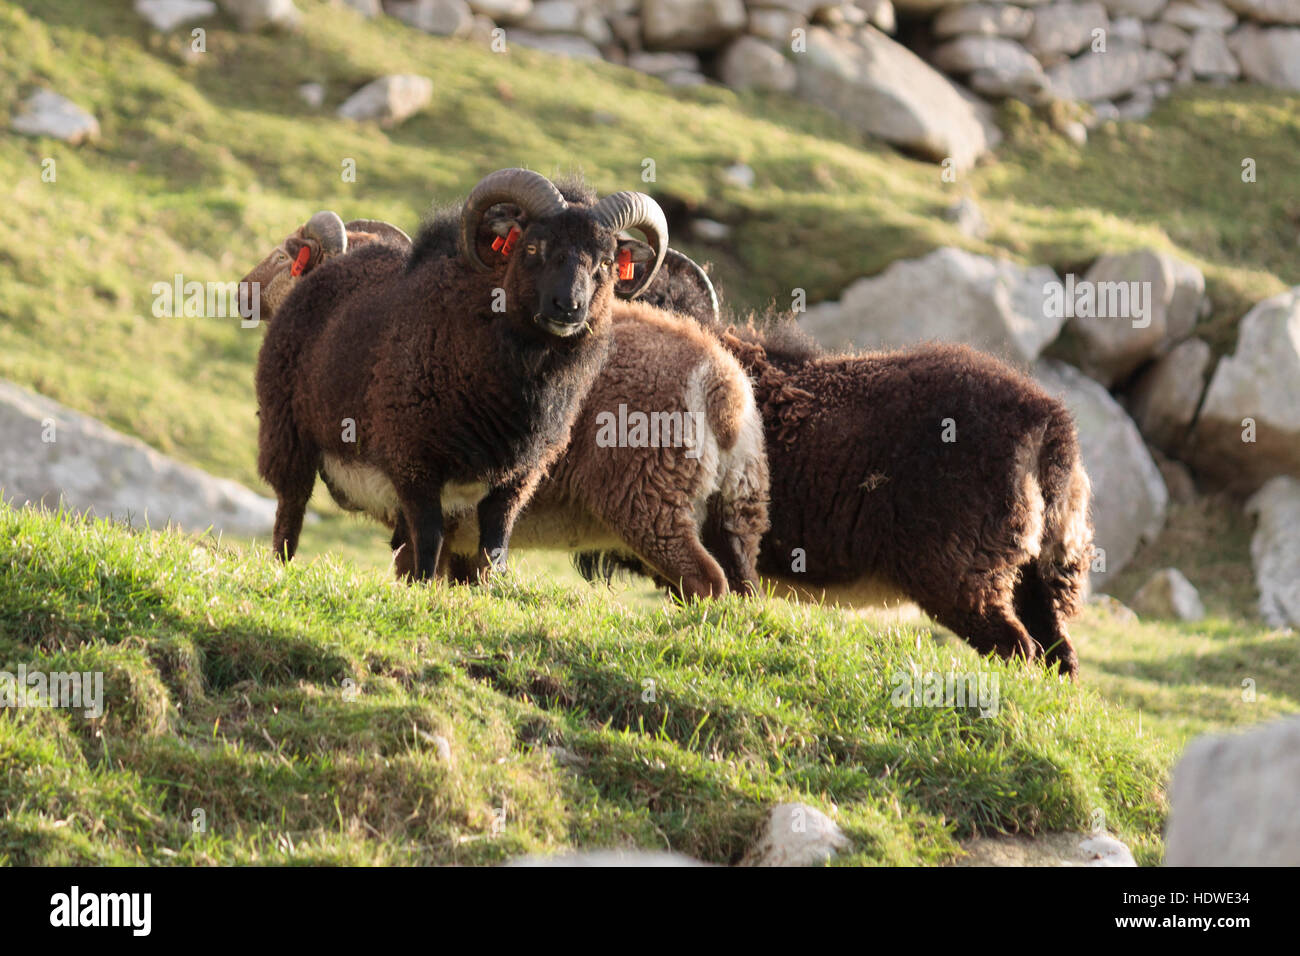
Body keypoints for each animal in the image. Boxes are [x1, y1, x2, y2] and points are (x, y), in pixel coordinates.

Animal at [242, 197, 768, 598]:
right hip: (737, 517)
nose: (244, 291)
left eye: (288, 254)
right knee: (740, 588)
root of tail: (723, 386)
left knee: (706, 581)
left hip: (650, 502)